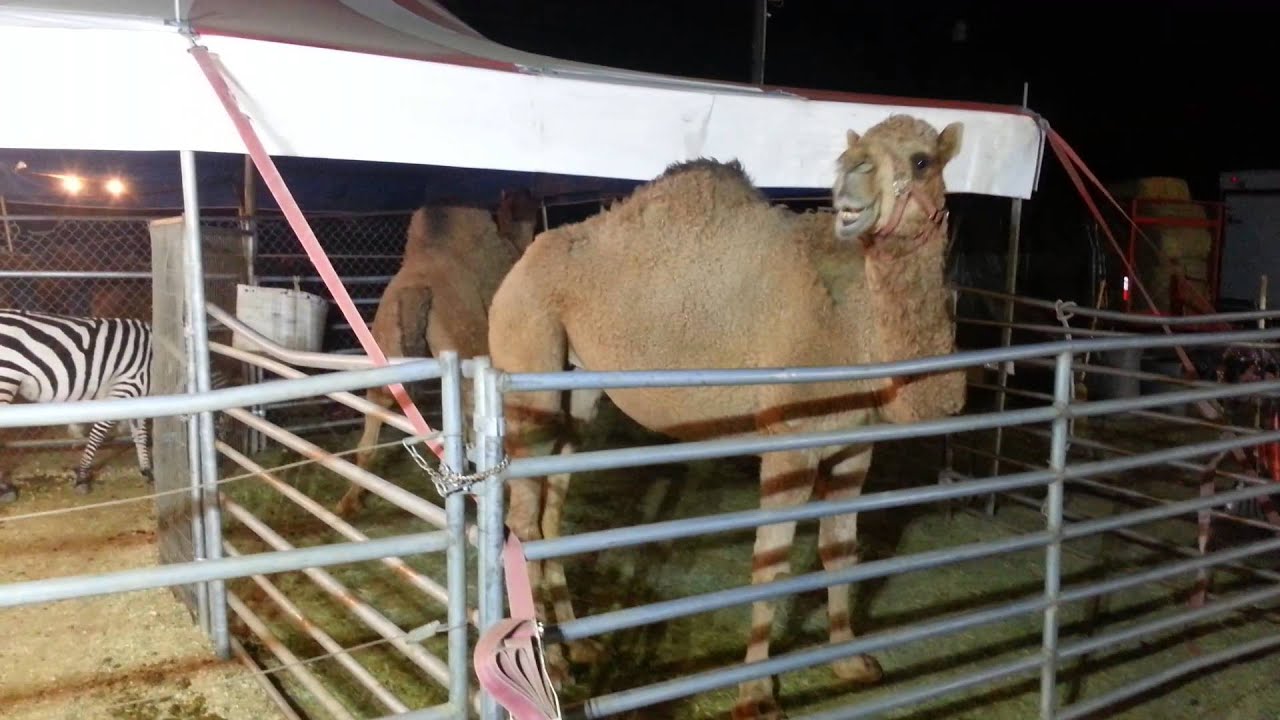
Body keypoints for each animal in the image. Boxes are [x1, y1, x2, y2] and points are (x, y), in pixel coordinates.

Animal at [485, 114, 969, 718]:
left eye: (923, 160)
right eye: (853, 151)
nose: (849, 175)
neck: (853, 318)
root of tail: (519, 263)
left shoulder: (857, 446)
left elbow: (840, 551)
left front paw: (851, 661)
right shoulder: (789, 440)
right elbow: (770, 564)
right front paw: (756, 695)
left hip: (578, 391)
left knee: (552, 507)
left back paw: (580, 648)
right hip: (527, 356)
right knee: (525, 516)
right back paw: (552, 664)